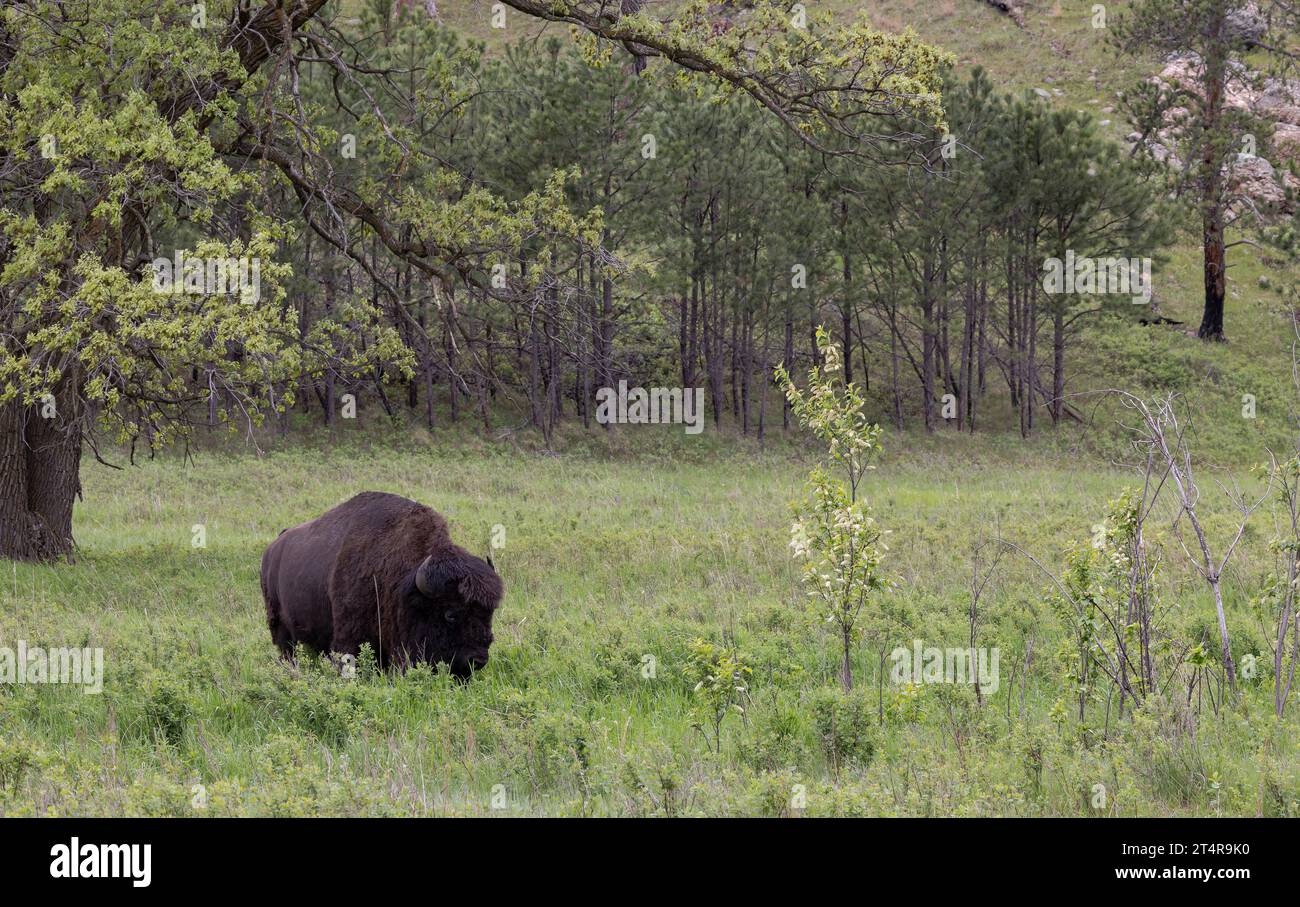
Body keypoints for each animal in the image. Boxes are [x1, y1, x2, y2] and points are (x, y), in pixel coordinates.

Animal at [260, 491, 503, 679]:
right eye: (450, 614)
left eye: (490, 613)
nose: (477, 660)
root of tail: (272, 548)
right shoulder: (349, 639)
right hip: (278, 625)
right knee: (286, 651)